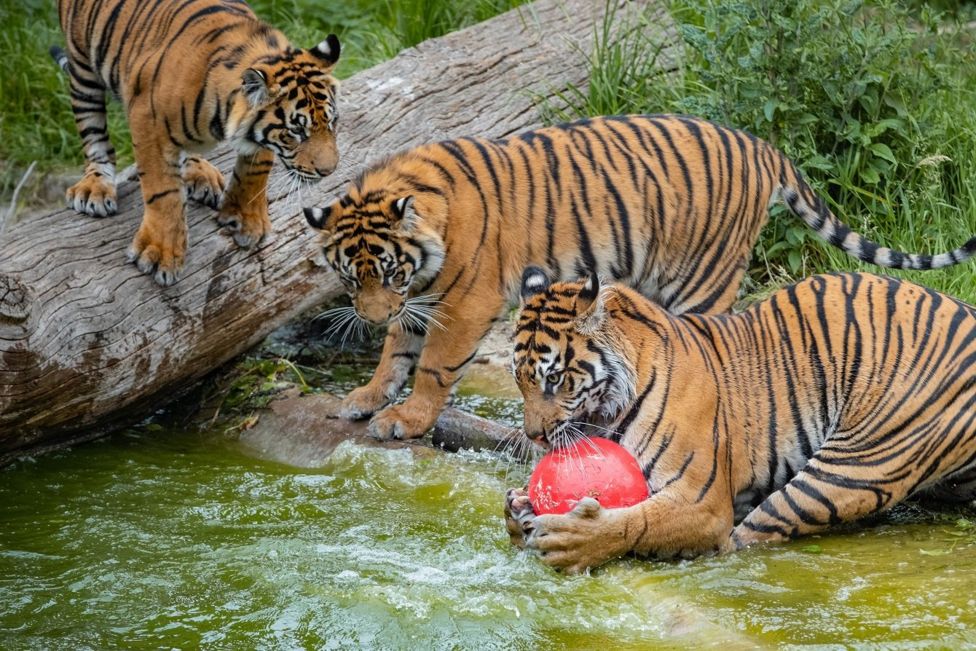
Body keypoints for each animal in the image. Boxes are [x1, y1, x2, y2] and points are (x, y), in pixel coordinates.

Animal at [53, 0, 341, 285]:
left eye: (332, 121)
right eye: (296, 131)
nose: (328, 171)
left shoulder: (256, 137)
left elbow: (255, 173)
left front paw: (246, 221)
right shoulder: (147, 120)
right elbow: (163, 191)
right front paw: (159, 252)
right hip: (82, 69)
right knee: (93, 132)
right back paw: (95, 187)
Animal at [302, 114, 976, 440]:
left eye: (388, 268)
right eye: (350, 276)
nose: (367, 315)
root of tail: (762, 146)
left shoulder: (466, 301)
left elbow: (434, 364)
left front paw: (407, 419)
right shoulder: (421, 298)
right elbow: (398, 349)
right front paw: (366, 398)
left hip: (702, 279)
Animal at [503, 268, 976, 573]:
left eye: (554, 379)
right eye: (518, 379)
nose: (534, 436)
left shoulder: (702, 500)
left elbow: (638, 522)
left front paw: (576, 539)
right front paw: (518, 507)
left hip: (851, 469)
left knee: (738, 540)